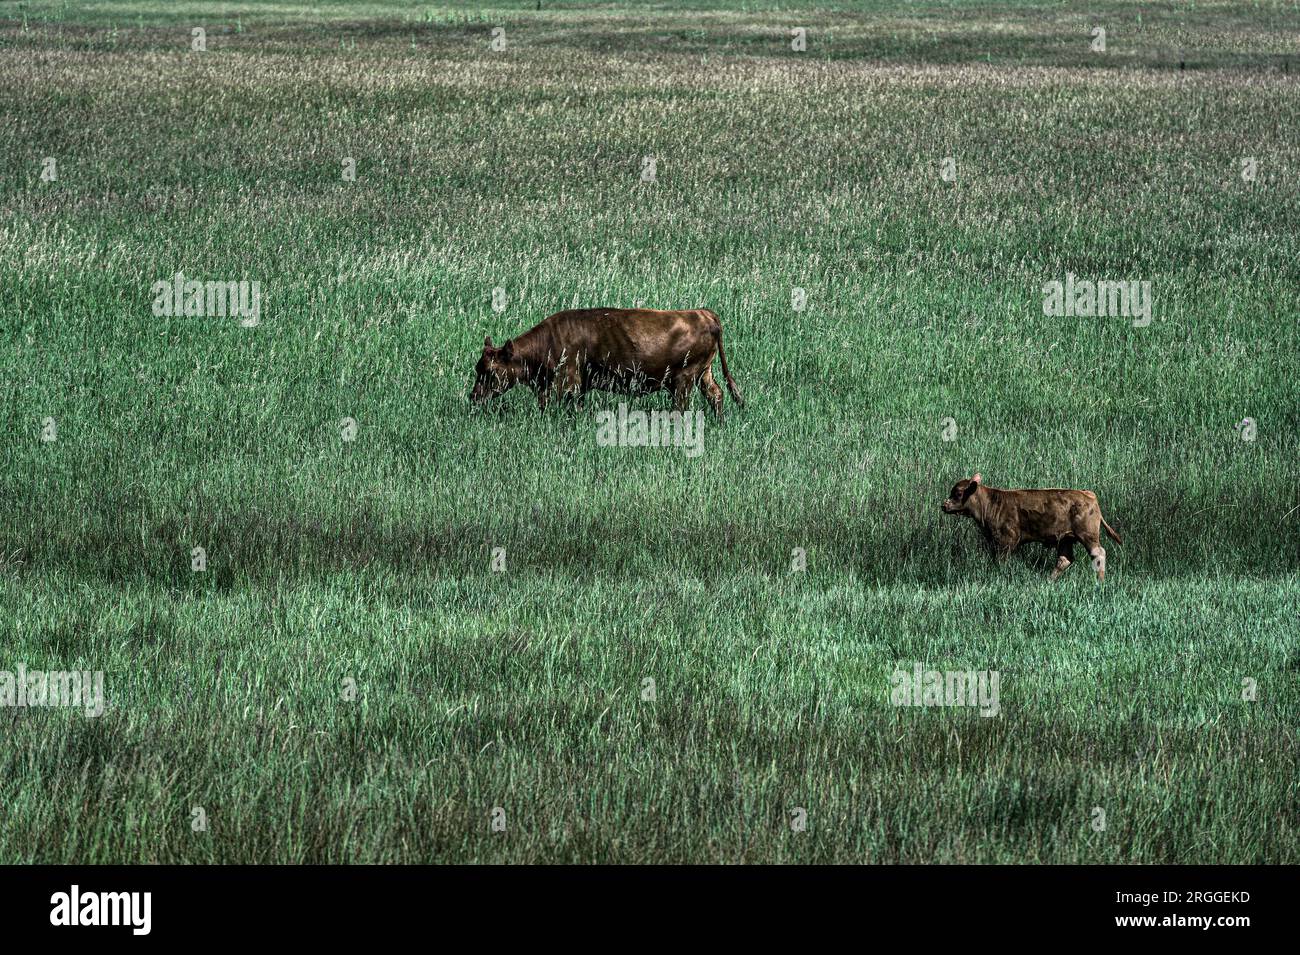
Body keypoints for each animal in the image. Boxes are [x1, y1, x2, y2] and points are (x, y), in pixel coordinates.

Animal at [470, 307, 743, 416]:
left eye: (490, 371)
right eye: (477, 369)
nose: (474, 396)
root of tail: (702, 313)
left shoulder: (567, 381)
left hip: (684, 379)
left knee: (682, 405)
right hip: (703, 374)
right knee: (716, 394)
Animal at [941, 473, 1123, 581]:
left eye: (958, 493)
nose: (944, 505)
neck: (991, 502)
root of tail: (1088, 494)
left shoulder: (1006, 540)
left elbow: (1001, 560)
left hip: (1087, 535)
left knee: (1098, 554)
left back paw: (1100, 581)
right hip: (1065, 538)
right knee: (1065, 559)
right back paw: (1049, 581)